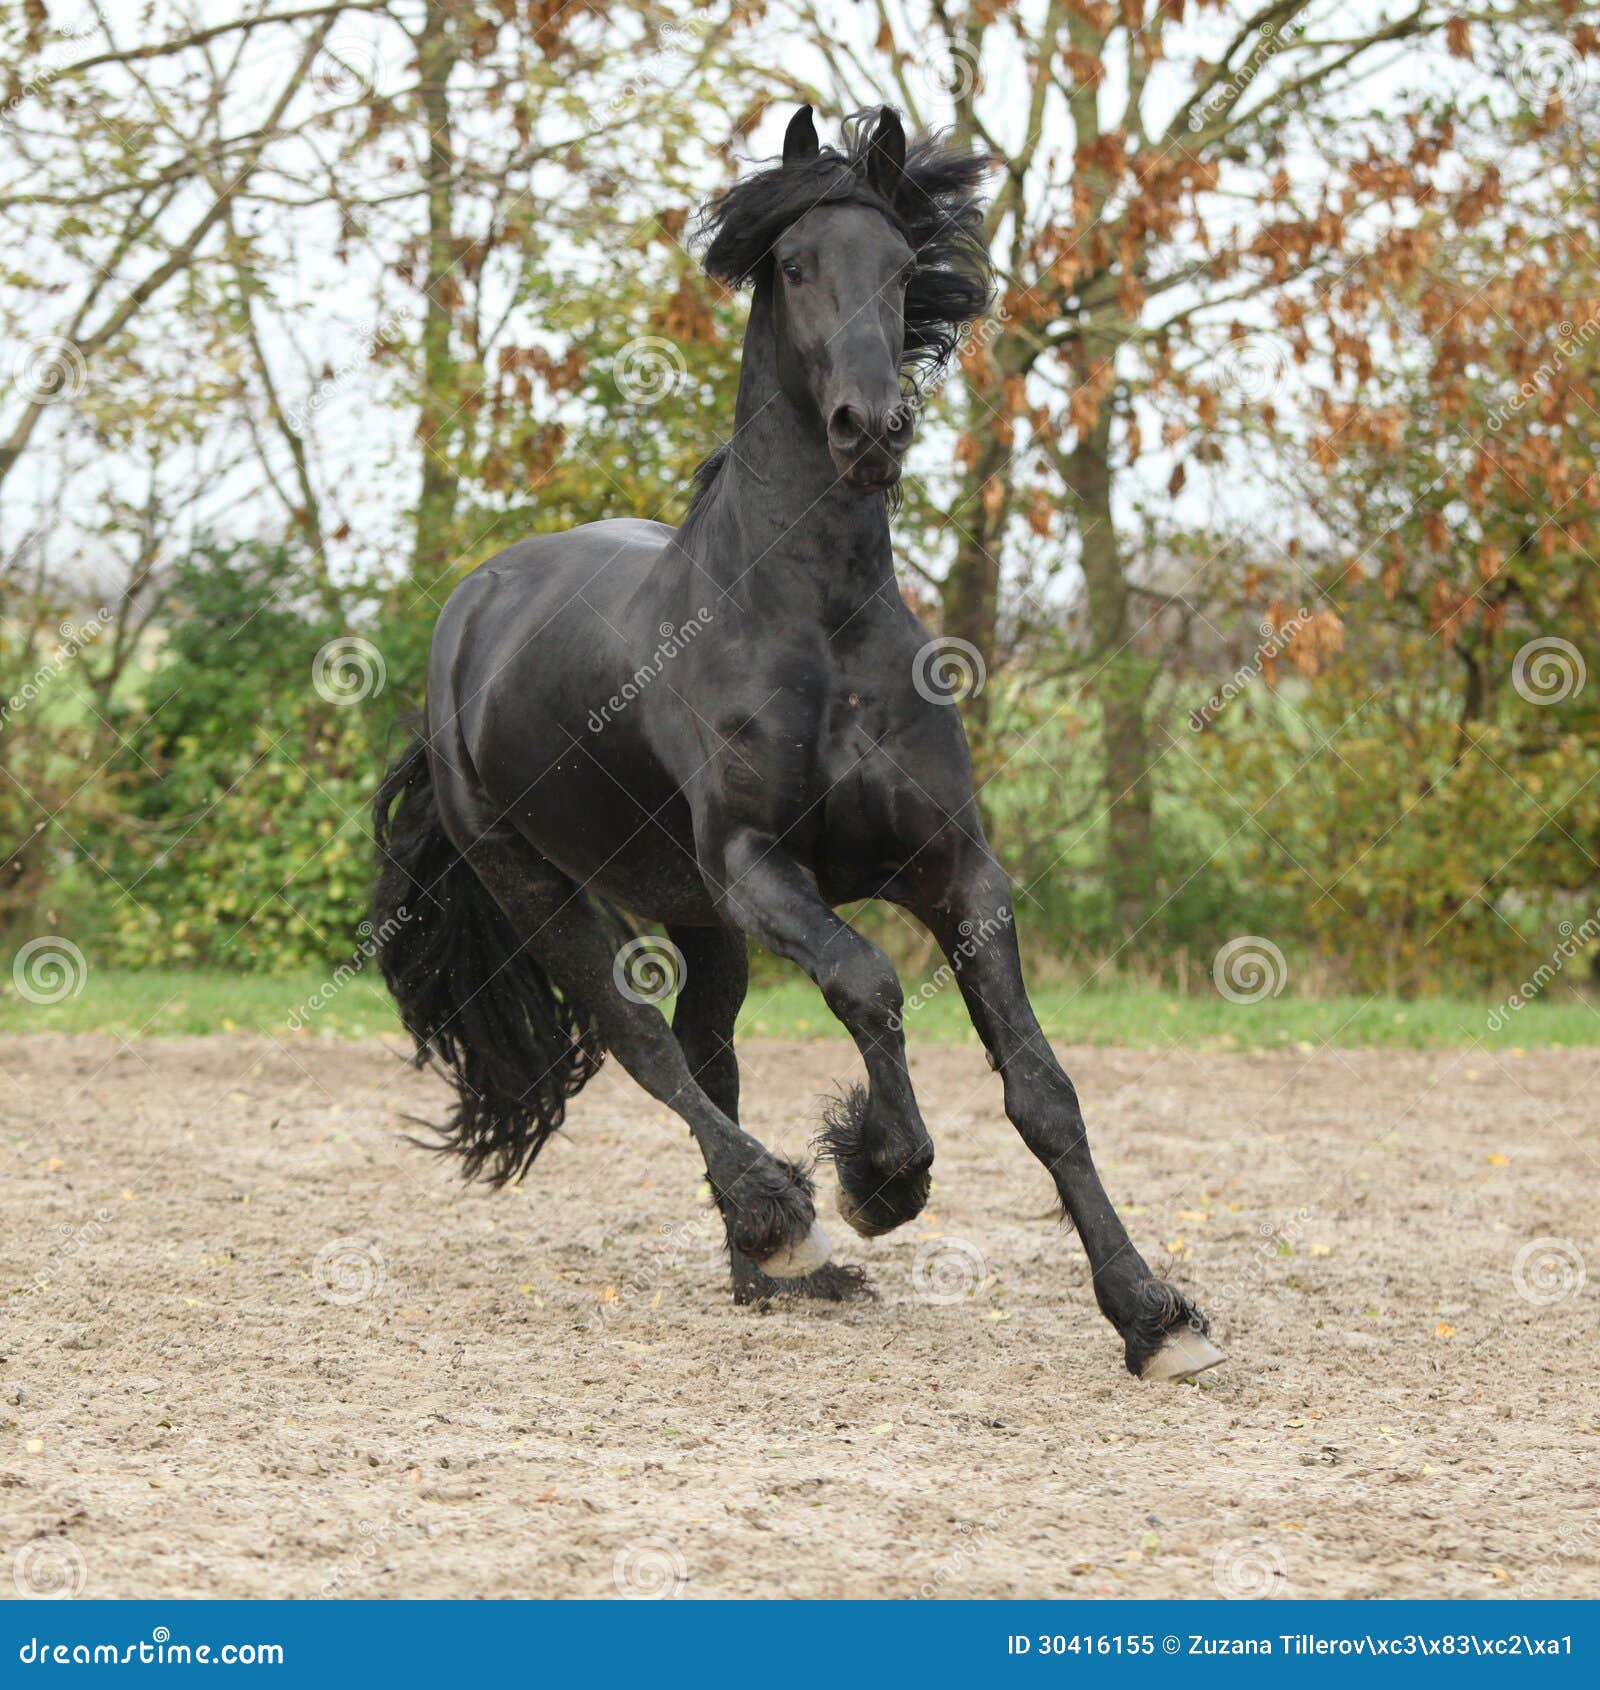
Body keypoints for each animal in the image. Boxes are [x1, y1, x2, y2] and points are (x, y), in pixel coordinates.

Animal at [372, 105, 1220, 1381]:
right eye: (795, 265)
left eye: (903, 269)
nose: (871, 426)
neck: (820, 627)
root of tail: (471, 612)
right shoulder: (760, 868)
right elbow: (868, 983)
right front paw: (880, 1177)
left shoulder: (951, 867)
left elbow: (1040, 1087)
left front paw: (1150, 1315)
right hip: (538, 883)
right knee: (642, 1041)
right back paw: (779, 1213)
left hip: (696, 916)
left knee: (705, 1046)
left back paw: (767, 1270)